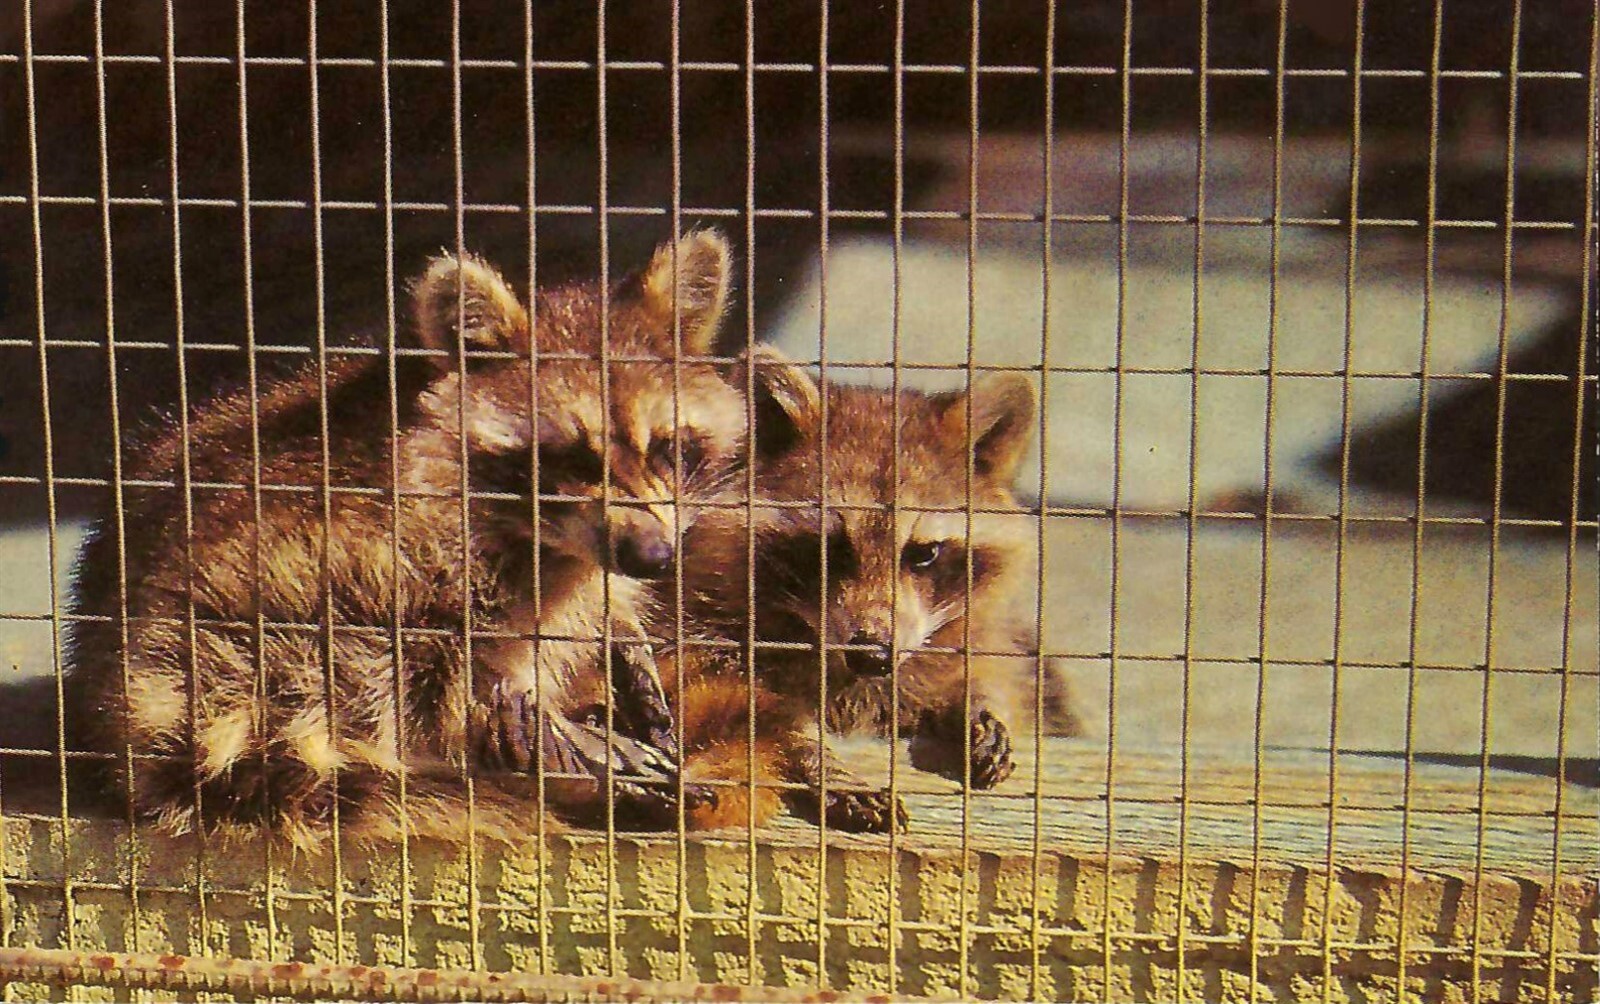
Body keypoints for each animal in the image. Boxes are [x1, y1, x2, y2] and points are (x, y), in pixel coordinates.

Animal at [68, 231, 745, 848]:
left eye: (669, 447)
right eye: (571, 457)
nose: (653, 557)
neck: (546, 538)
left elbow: (598, 601)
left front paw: (625, 637)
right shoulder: (418, 539)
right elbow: (452, 657)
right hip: (241, 605)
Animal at [668, 357, 1073, 833]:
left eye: (925, 554)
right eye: (834, 549)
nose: (872, 655)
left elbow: (987, 673)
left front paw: (977, 701)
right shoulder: (697, 625)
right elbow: (750, 710)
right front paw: (817, 758)